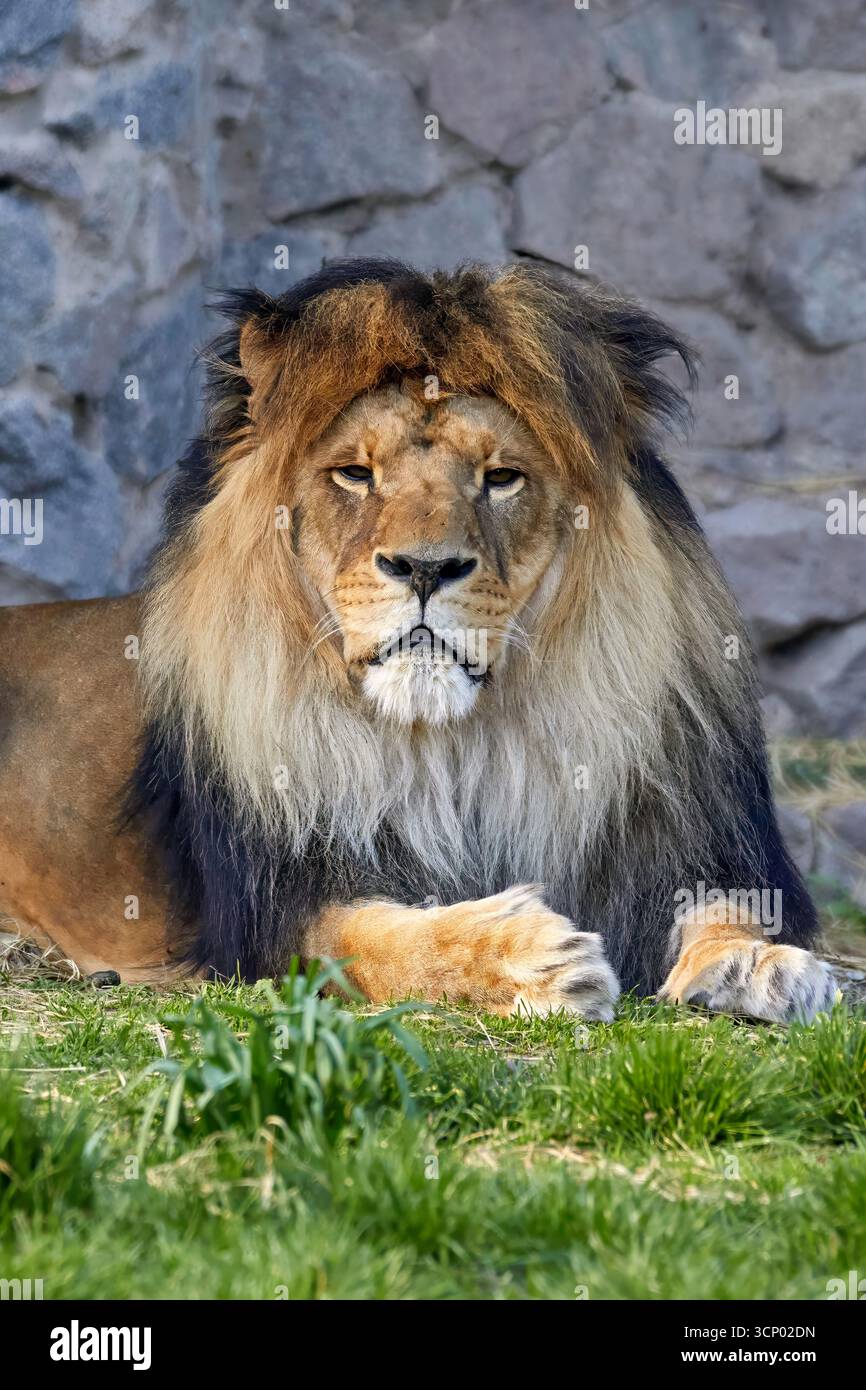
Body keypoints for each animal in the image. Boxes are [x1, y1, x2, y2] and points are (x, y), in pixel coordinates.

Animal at [0, 259, 836, 1022]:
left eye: (500, 476)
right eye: (354, 473)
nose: (425, 568)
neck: (453, 751)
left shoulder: (689, 841)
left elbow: (726, 905)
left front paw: (760, 965)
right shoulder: (272, 914)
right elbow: (376, 939)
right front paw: (530, 957)